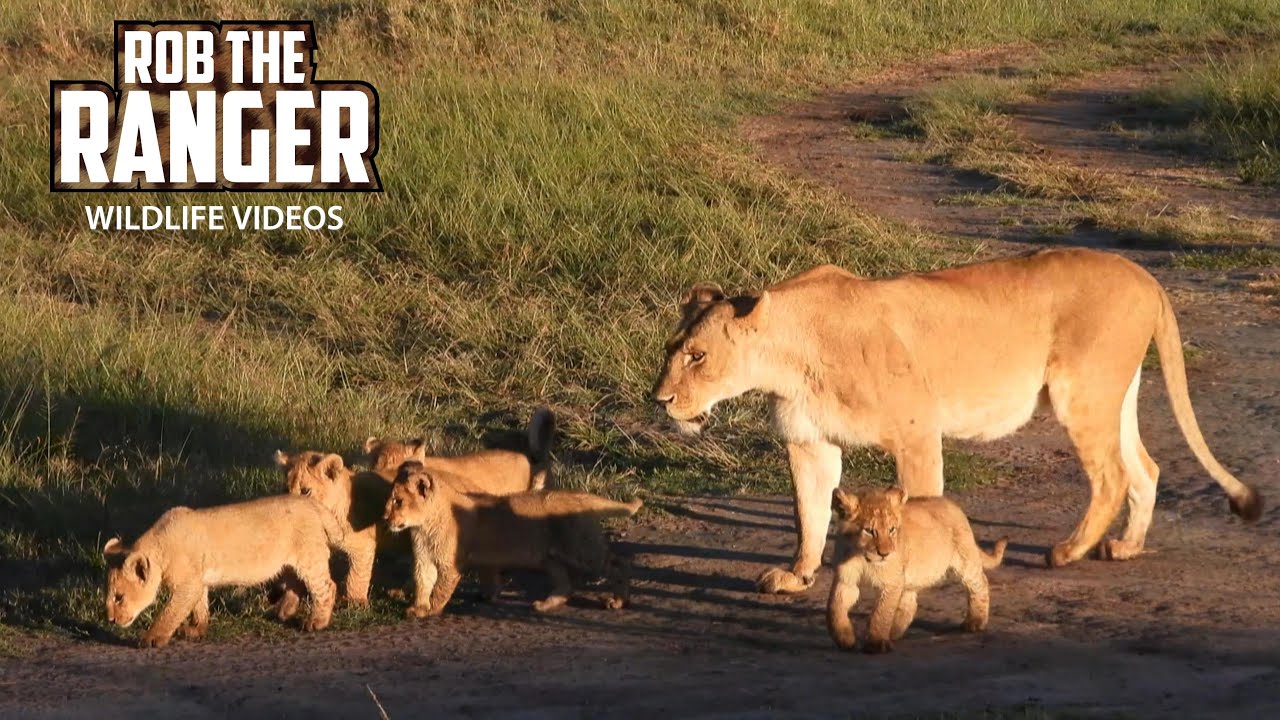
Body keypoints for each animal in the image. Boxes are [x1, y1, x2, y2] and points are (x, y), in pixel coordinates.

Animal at [103, 495, 342, 648]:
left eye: (119, 597)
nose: (111, 621)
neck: (159, 546)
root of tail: (313, 503)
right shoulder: (197, 580)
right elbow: (199, 606)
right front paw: (196, 630)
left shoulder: (187, 583)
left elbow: (170, 612)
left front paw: (152, 638)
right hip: (290, 562)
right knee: (296, 583)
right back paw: (283, 611)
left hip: (309, 557)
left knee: (327, 586)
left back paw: (316, 622)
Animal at [383, 461, 641, 616]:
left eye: (398, 501)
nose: (385, 518)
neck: (423, 526)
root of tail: (579, 497)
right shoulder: (424, 558)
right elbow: (422, 582)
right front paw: (417, 608)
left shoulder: (450, 564)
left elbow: (439, 589)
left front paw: (431, 610)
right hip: (549, 558)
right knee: (566, 584)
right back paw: (545, 605)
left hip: (580, 548)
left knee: (618, 563)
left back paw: (619, 600)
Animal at [651, 248, 1262, 593]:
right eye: (670, 350)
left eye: (698, 356)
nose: (660, 400)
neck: (791, 355)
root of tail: (1144, 275)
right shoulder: (809, 441)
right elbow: (810, 514)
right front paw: (797, 577)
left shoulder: (916, 430)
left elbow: (920, 505)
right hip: (1117, 390)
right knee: (1146, 468)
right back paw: (1126, 547)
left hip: (1080, 392)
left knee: (1111, 476)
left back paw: (1066, 552)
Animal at [826, 486, 1006, 653]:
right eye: (869, 531)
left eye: (891, 529)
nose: (884, 554)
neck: (863, 557)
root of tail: (954, 506)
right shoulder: (846, 579)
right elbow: (835, 607)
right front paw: (844, 638)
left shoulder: (891, 582)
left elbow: (881, 613)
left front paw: (876, 643)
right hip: (913, 575)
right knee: (910, 603)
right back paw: (894, 632)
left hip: (964, 560)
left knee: (980, 583)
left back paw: (976, 621)